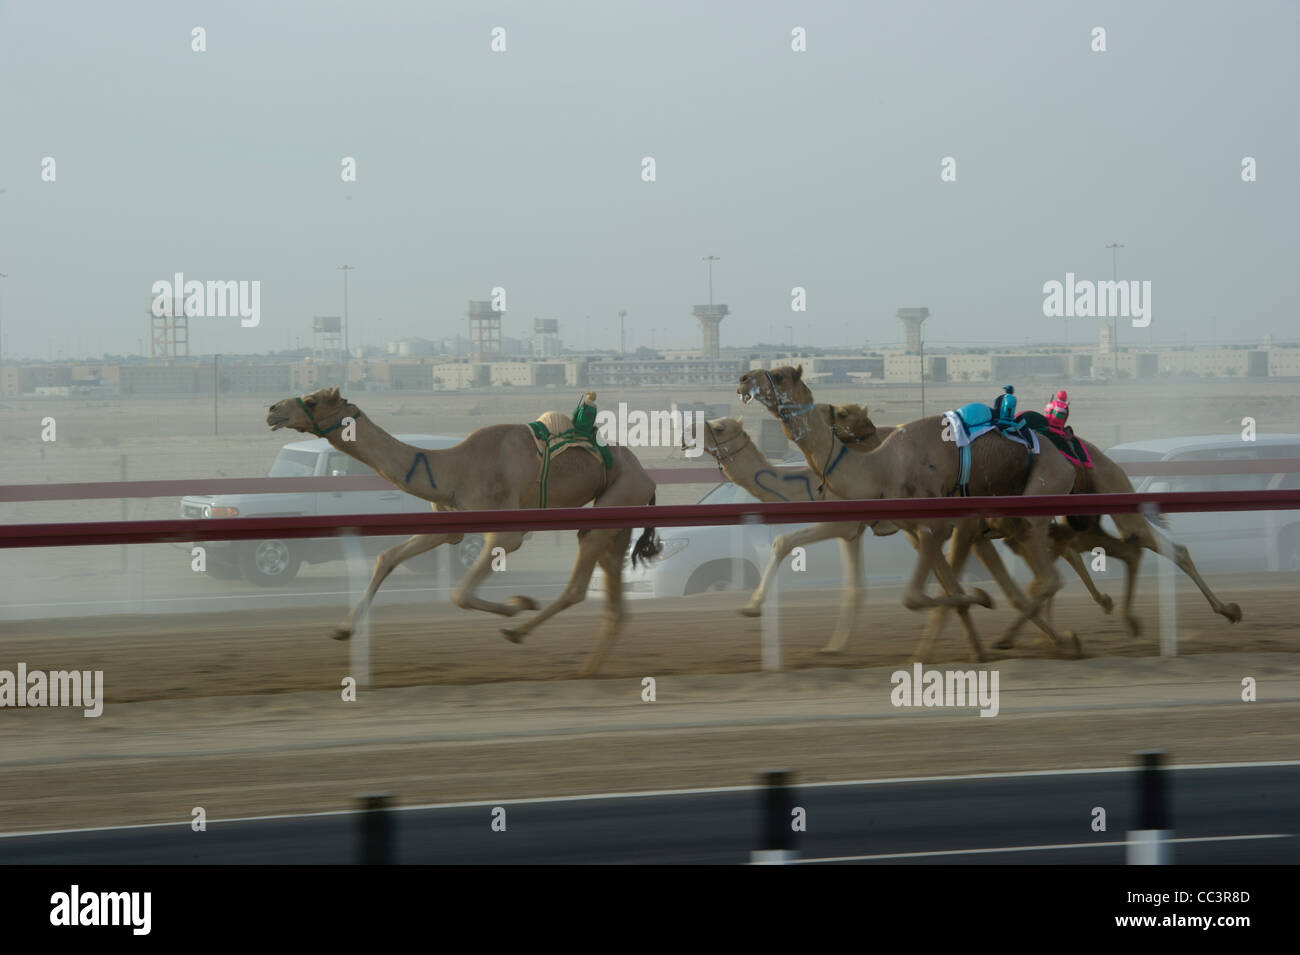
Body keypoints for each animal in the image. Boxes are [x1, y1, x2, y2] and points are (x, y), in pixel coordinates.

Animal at [266, 386, 662, 676]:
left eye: (313, 400)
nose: (272, 409)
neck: (456, 468)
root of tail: (648, 477)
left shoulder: (505, 533)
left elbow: (460, 594)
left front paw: (518, 605)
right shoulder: (451, 525)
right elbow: (387, 557)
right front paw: (342, 629)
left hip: (621, 494)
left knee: (580, 579)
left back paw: (520, 633)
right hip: (618, 518)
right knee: (614, 596)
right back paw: (589, 669)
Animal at [739, 366, 1084, 662]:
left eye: (780, 376)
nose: (743, 379)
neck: (883, 467)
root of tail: (1065, 458)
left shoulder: (937, 526)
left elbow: (914, 596)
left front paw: (980, 602)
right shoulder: (916, 530)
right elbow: (941, 590)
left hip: (1042, 492)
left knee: (1048, 576)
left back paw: (1045, 641)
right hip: (1011, 517)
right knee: (1040, 575)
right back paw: (1051, 640)